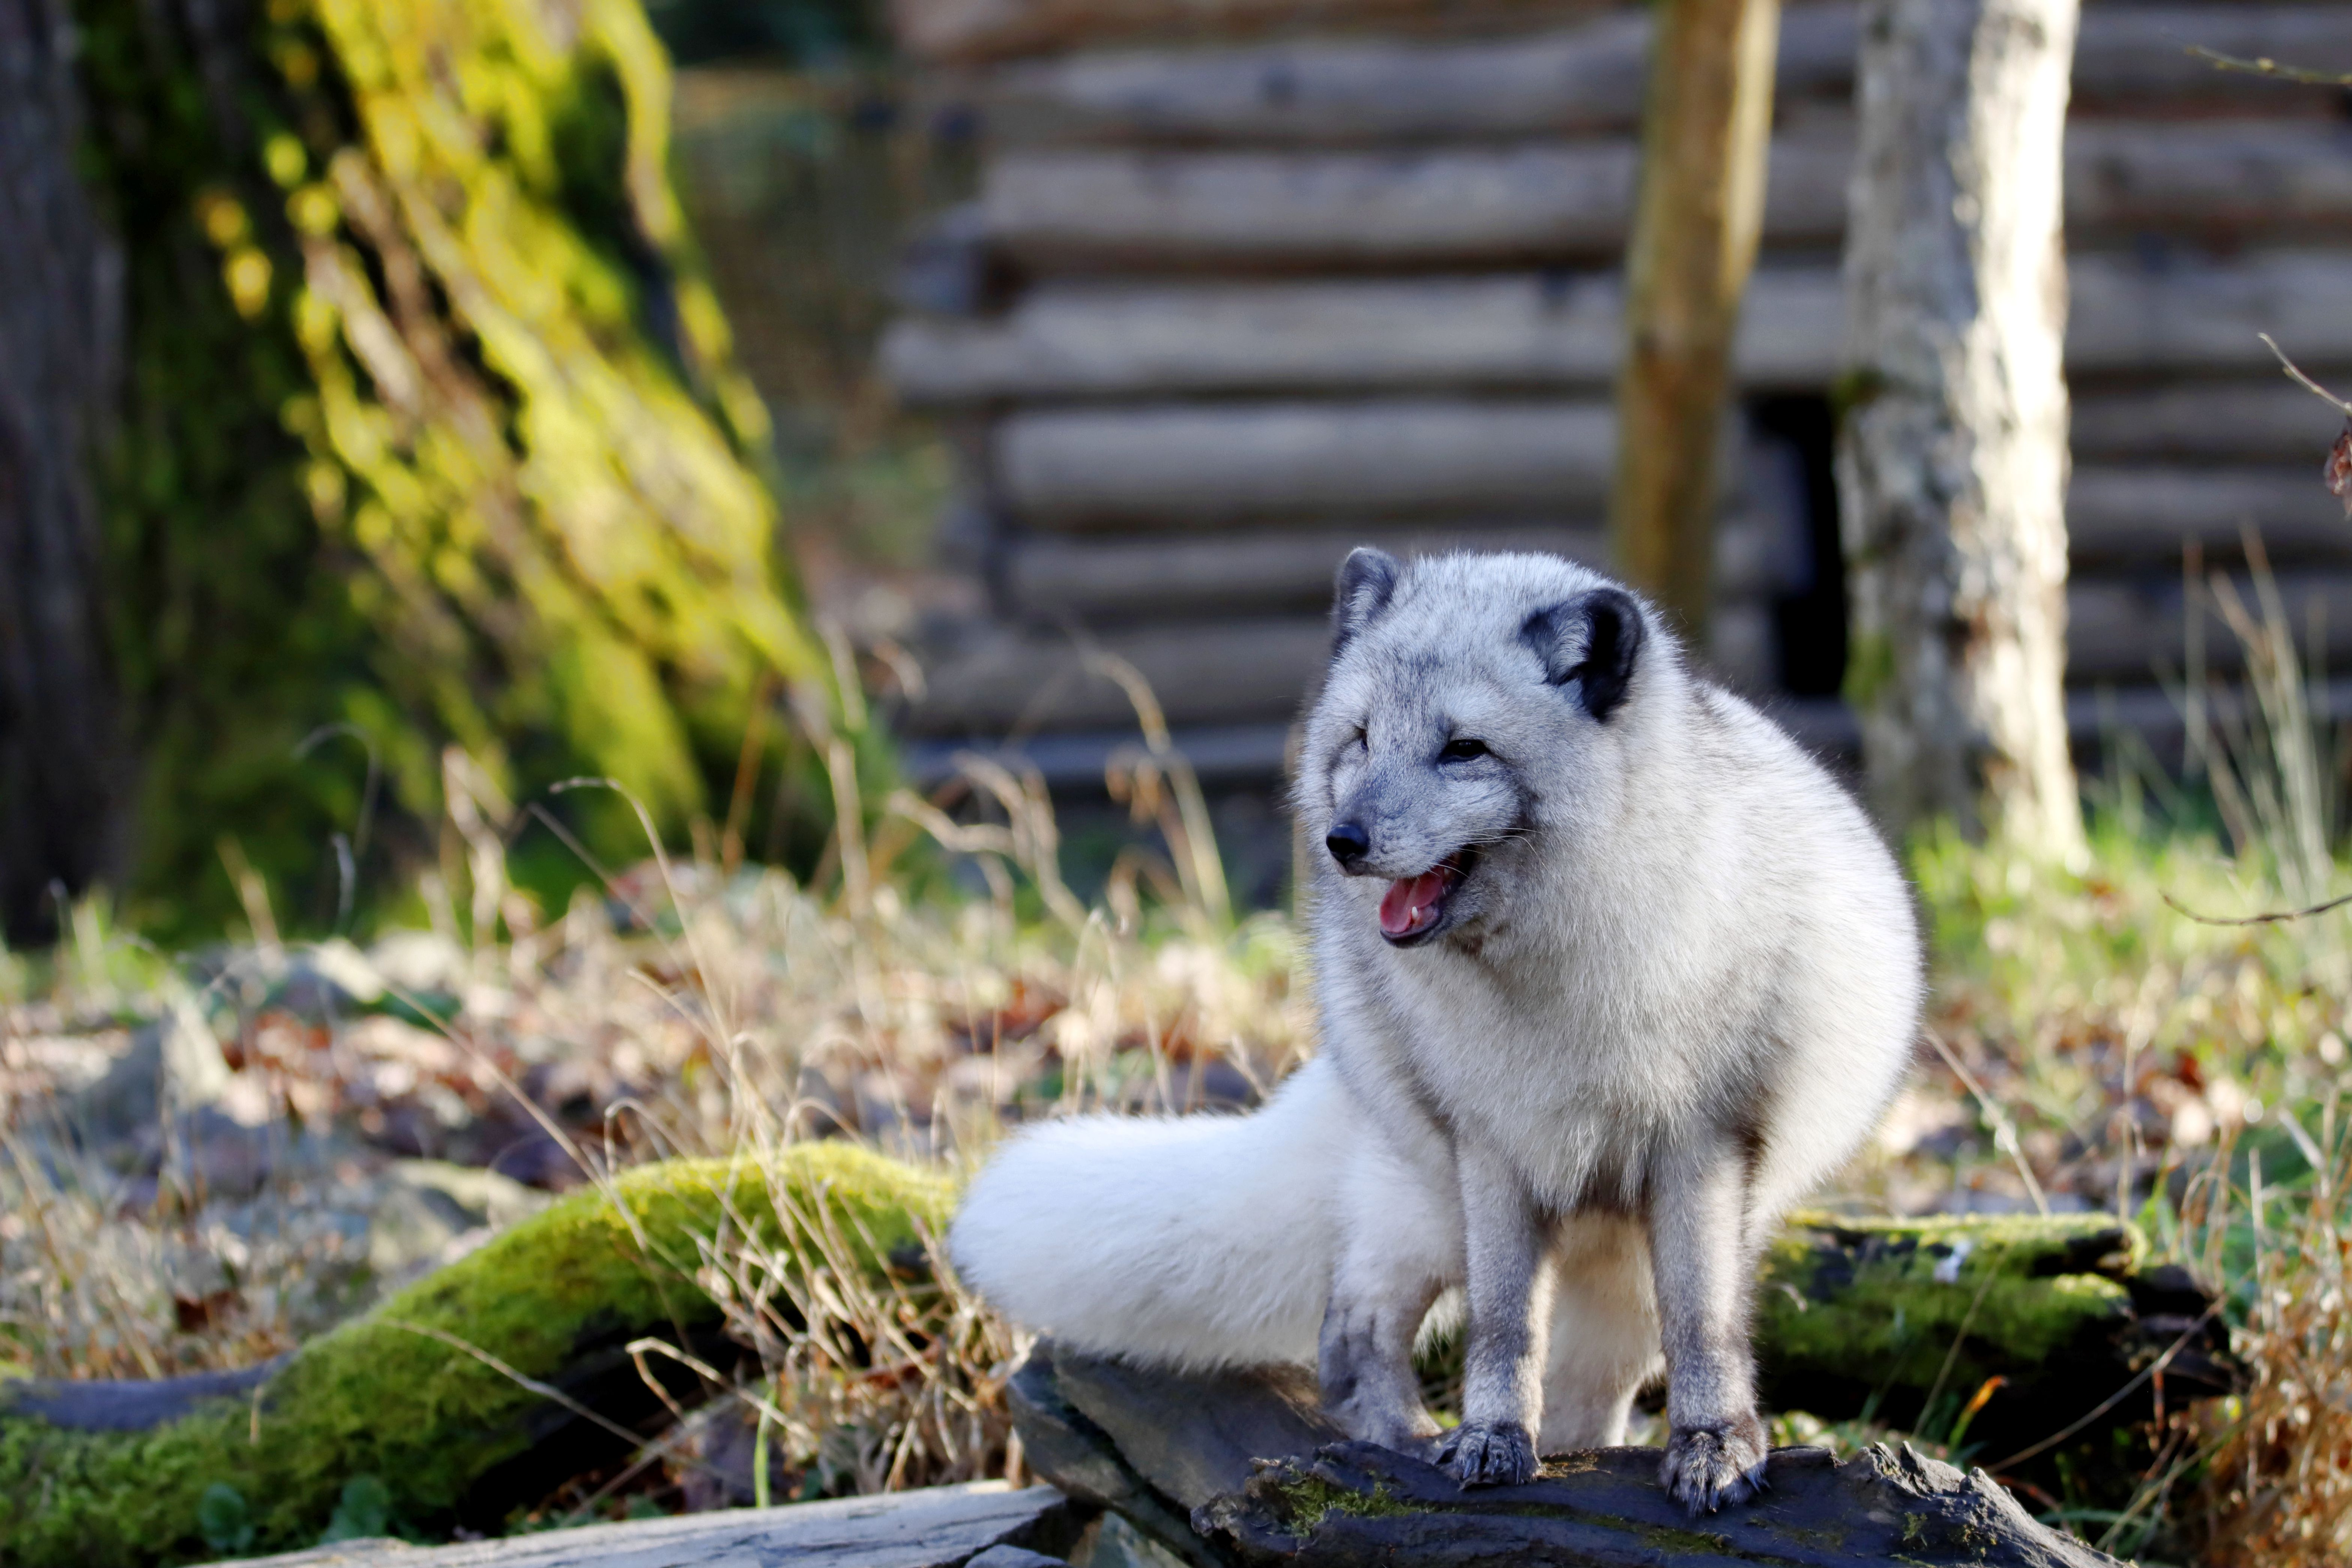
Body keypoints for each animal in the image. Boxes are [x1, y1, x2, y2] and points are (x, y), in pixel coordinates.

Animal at [949, 549, 1923, 1514]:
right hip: (1430, 1200)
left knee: (1590, 1379)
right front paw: (1490, 1437)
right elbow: (1503, 1324)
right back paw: (1409, 1444)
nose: (1343, 841)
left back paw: (1580, 1456)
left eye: (1464, 749)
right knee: (1352, 1332)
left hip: (1621, 1258)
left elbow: (1704, 1327)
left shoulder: (1700, 1151)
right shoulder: (1493, 1150)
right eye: (1361, 739)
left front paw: (1715, 1444)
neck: (1555, 993)